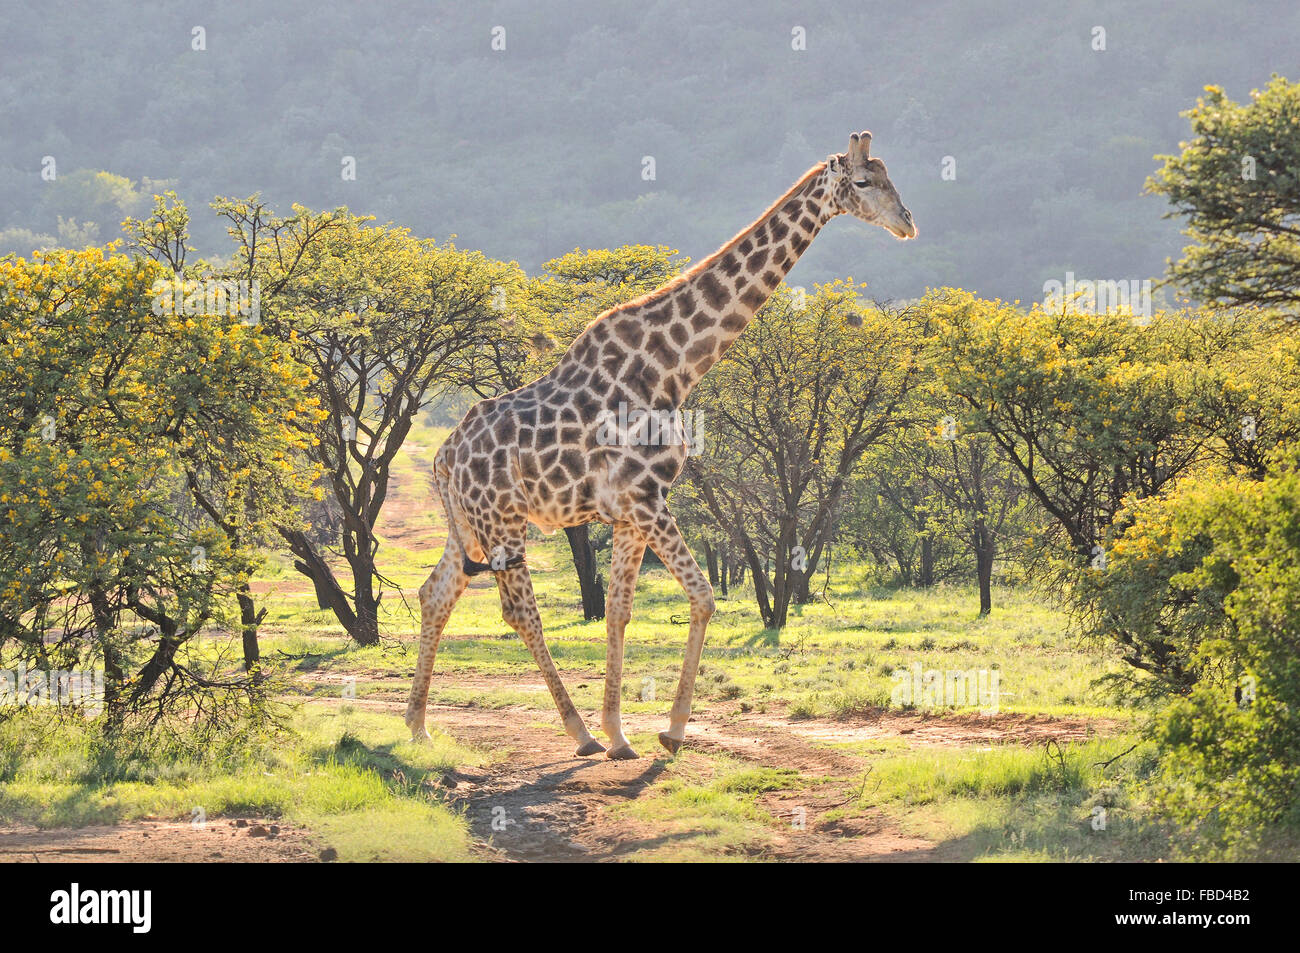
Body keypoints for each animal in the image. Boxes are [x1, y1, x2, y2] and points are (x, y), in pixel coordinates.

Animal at [406, 131, 915, 759]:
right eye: (865, 182)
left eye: (892, 177)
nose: (907, 223)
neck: (674, 366)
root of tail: (442, 458)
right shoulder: (647, 497)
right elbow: (703, 596)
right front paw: (668, 731)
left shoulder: (629, 511)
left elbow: (619, 611)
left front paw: (621, 732)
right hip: (502, 522)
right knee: (519, 611)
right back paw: (576, 733)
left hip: (470, 526)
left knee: (435, 593)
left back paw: (419, 725)